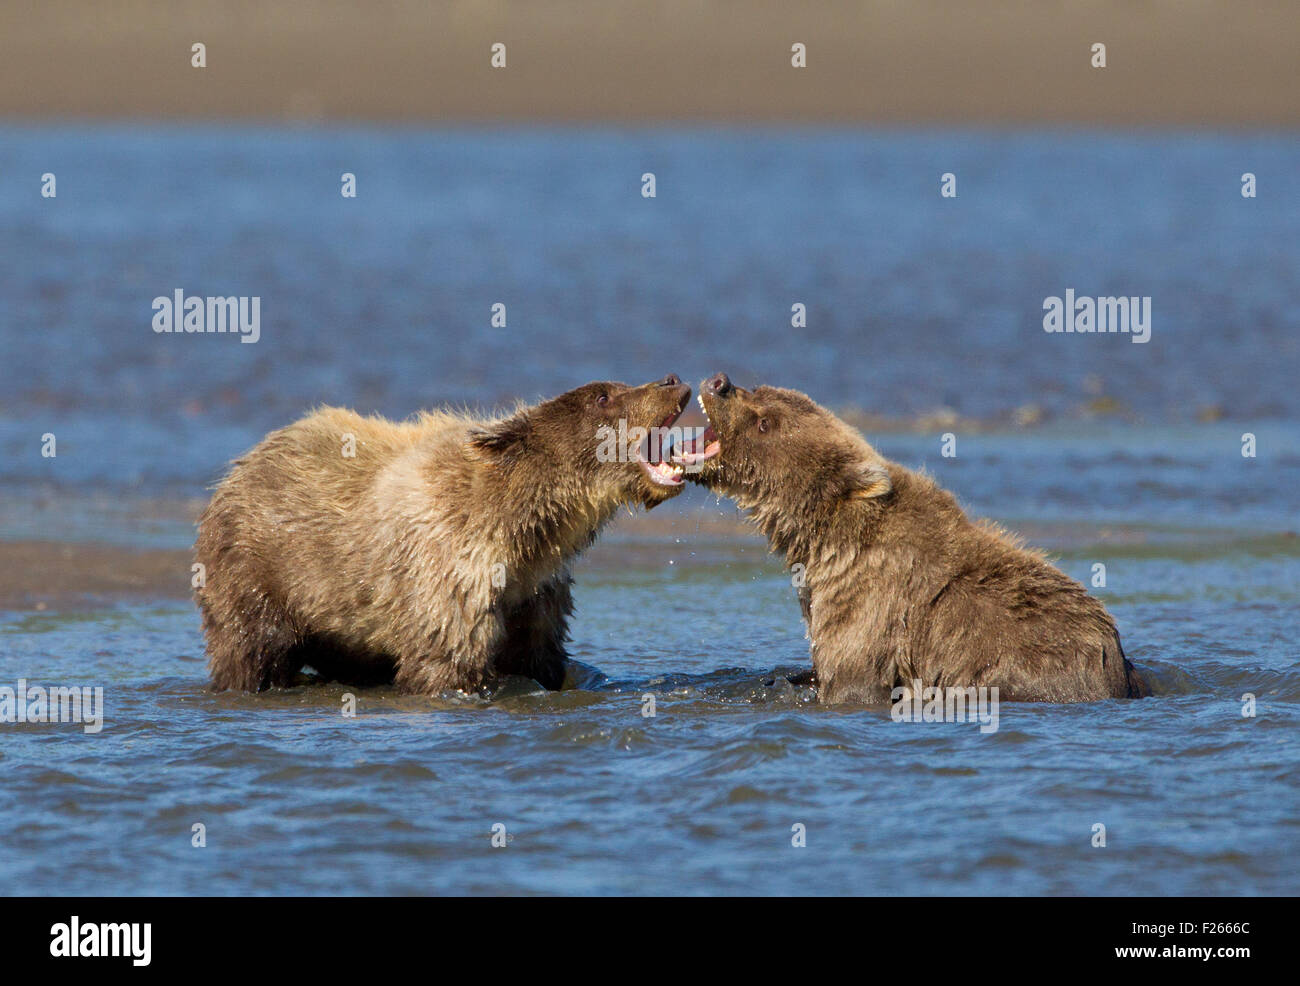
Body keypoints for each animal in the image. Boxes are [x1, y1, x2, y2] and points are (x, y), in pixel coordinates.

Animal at [196, 375, 693, 695]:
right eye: (605, 395)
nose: (671, 380)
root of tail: (234, 471)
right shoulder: (449, 567)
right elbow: (447, 660)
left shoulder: (538, 590)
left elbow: (540, 655)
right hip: (260, 568)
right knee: (250, 649)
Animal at [673, 373, 1149, 704]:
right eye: (759, 390)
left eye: (766, 423)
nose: (718, 383)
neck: (823, 541)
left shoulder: (871, 600)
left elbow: (850, 676)